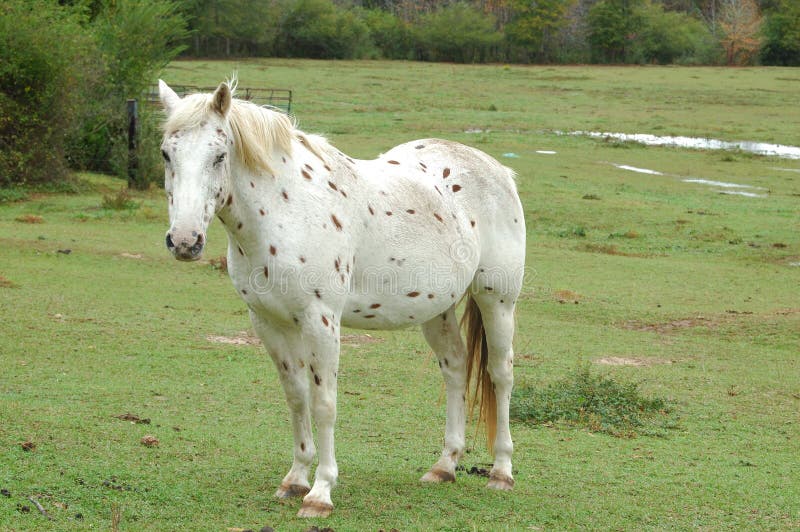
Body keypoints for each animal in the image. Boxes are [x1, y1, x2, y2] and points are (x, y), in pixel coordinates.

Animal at [158, 79, 526, 518]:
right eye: (166, 153)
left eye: (219, 155)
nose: (185, 241)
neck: (287, 209)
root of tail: (498, 171)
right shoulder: (268, 322)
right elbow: (296, 398)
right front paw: (295, 479)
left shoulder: (321, 321)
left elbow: (324, 404)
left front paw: (320, 492)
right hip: (436, 310)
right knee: (455, 367)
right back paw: (444, 466)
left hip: (497, 300)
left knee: (500, 374)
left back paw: (501, 472)